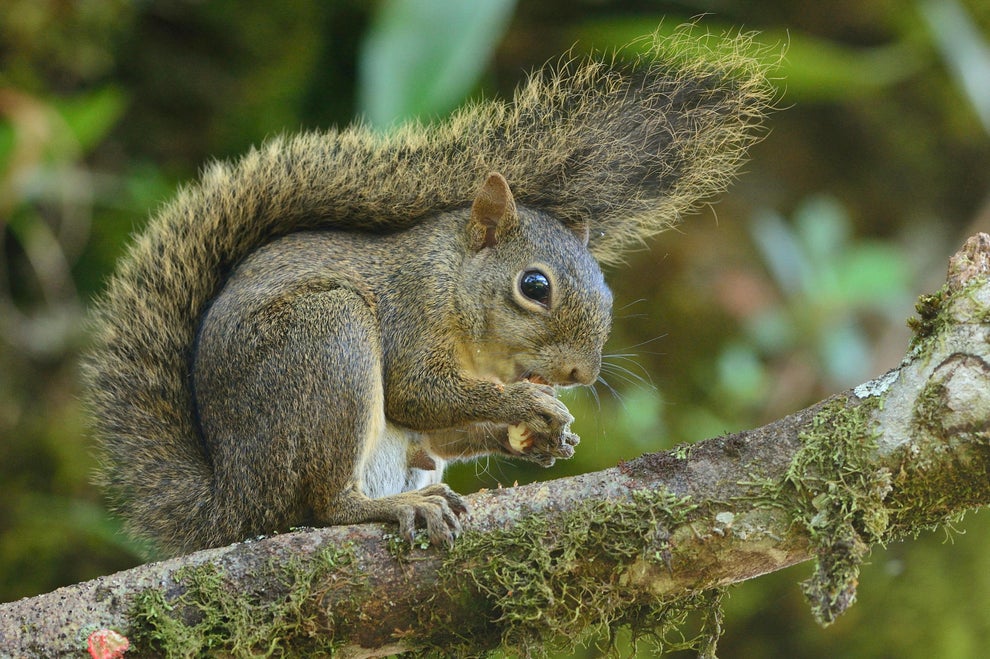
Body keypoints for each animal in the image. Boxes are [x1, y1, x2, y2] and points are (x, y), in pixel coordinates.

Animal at [83, 31, 772, 556]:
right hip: (325, 342)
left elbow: (441, 428)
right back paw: (389, 506)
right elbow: (416, 389)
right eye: (535, 286)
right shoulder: (409, 312)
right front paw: (531, 407)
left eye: (606, 290)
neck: (456, 287)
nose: (581, 374)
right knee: (320, 504)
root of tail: (232, 502)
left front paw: (542, 437)